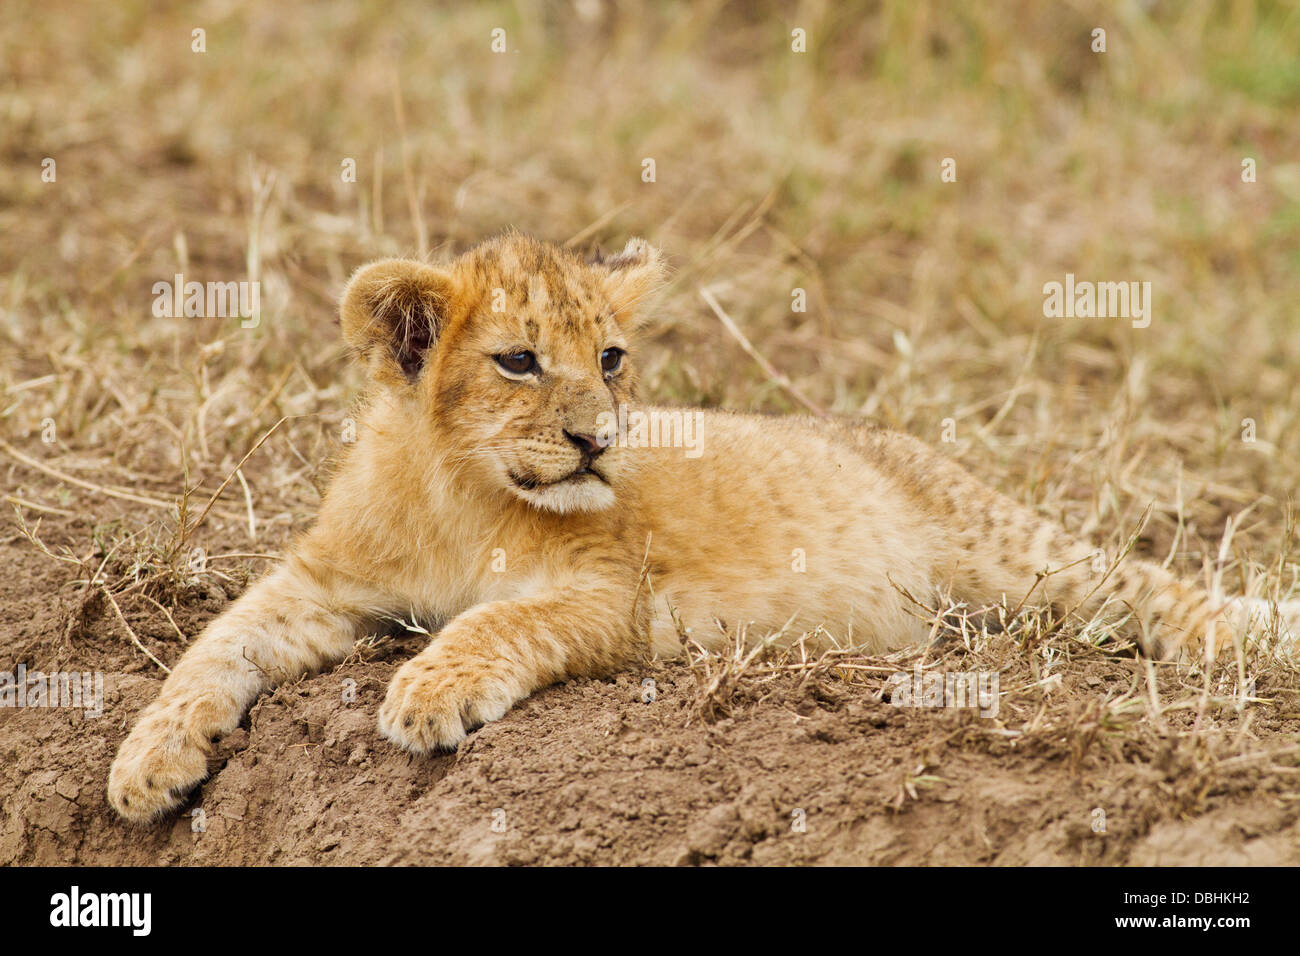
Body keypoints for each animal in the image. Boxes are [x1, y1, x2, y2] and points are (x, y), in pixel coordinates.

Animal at [107, 233, 1297, 820]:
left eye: (611, 358)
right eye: (519, 360)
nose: (597, 440)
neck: (456, 490)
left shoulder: (613, 593)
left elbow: (492, 623)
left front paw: (427, 692)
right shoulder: (321, 585)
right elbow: (211, 647)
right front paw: (146, 765)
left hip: (1013, 553)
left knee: (1154, 590)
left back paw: (1265, 630)